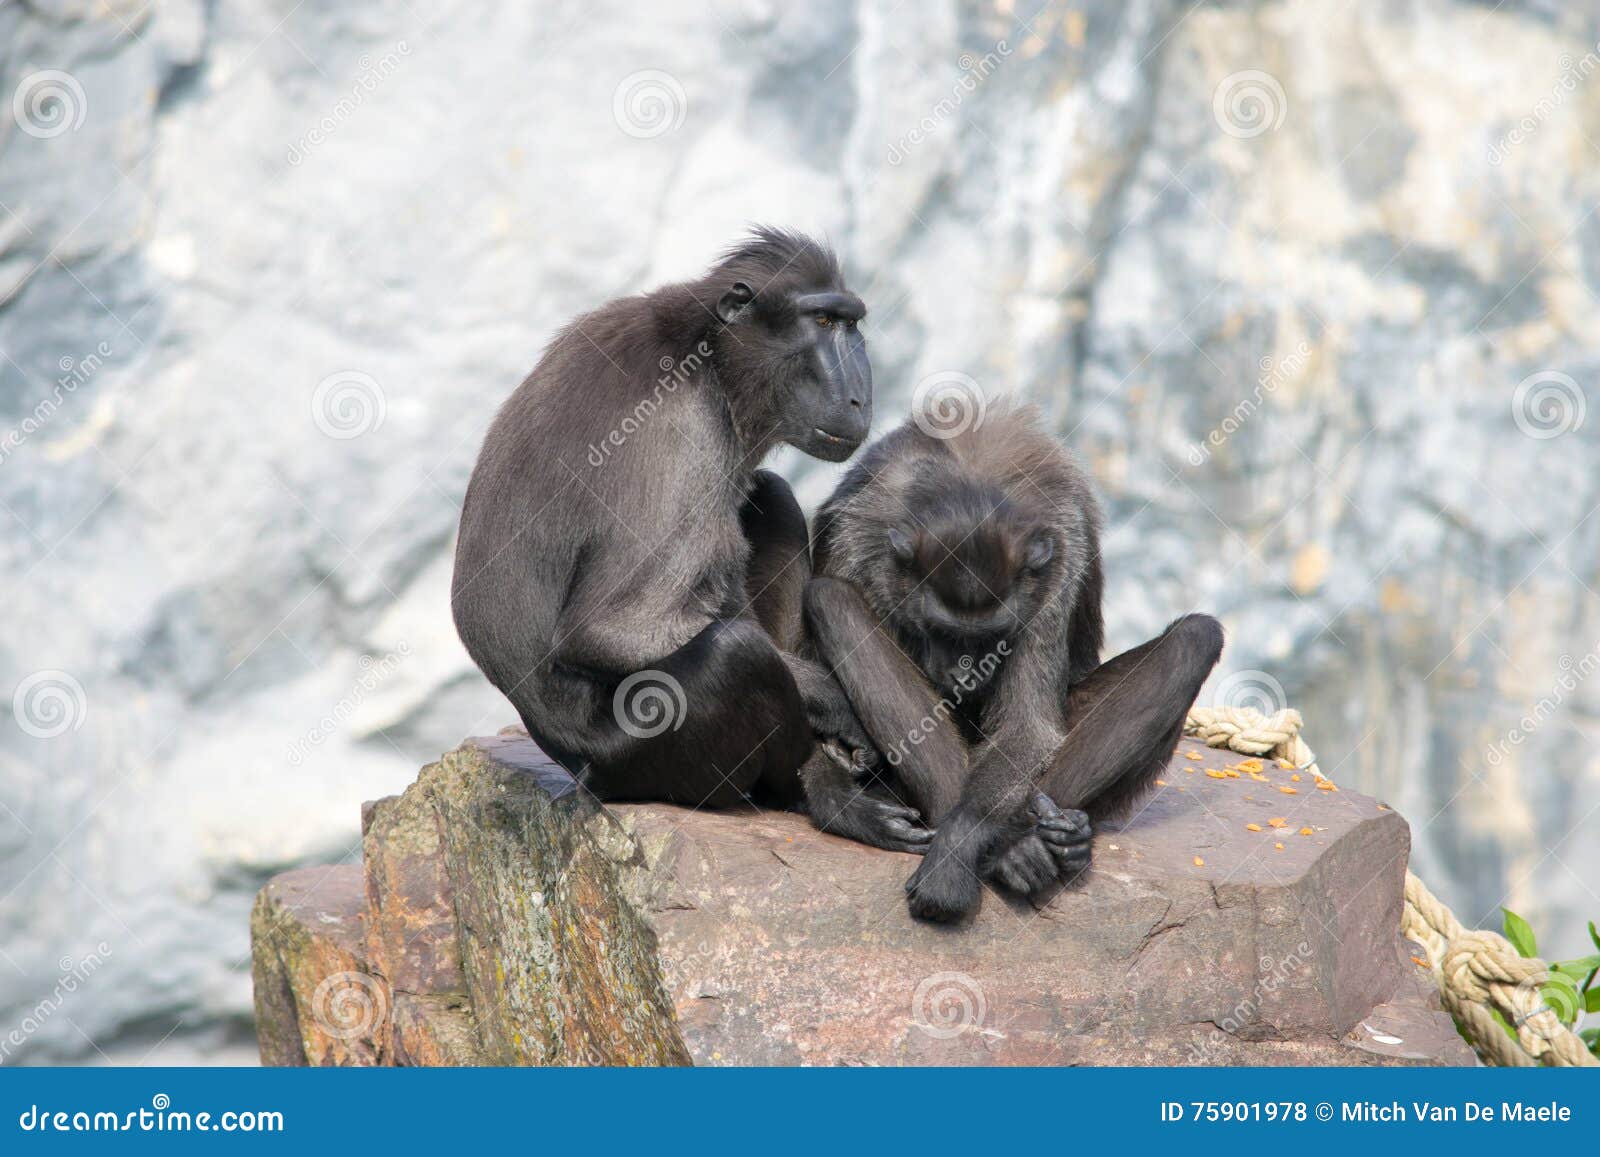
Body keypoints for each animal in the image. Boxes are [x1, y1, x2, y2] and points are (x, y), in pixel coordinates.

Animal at [451, 228, 922, 848]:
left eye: (850, 324)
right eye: (821, 321)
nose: (859, 399)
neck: (710, 356)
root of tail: (578, 773)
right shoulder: (683, 435)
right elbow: (610, 631)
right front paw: (835, 704)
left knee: (769, 496)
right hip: (640, 761)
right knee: (737, 655)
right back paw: (823, 794)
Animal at [803, 402, 1225, 921]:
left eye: (991, 636)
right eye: (941, 632)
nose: (965, 672)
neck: (968, 484)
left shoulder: (1058, 566)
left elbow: (1028, 729)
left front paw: (964, 837)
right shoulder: (853, 537)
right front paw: (842, 801)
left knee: (1195, 639)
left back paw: (1045, 842)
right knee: (830, 599)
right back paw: (1011, 851)